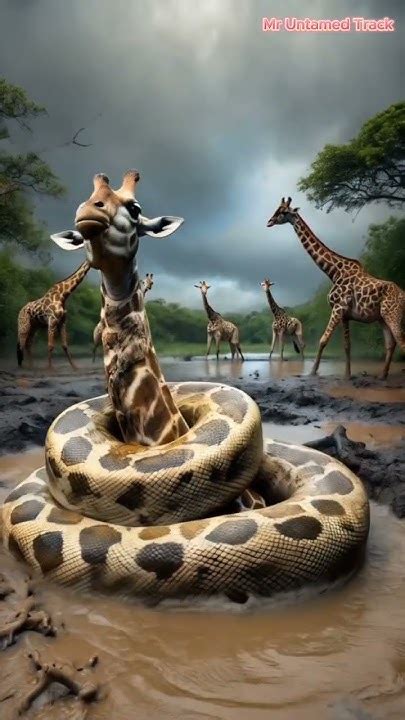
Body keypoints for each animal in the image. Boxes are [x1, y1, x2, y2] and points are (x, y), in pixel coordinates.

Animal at [267, 197, 405, 379]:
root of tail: (403, 294)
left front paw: (312, 372)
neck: (333, 272)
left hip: (393, 314)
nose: (269, 222)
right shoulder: (345, 315)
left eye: (282, 212)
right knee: (391, 343)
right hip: (382, 318)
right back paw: (382, 375)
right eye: (276, 209)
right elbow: (347, 345)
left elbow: (323, 339)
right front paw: (347, 375)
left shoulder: (338, 308)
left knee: (401, 341)